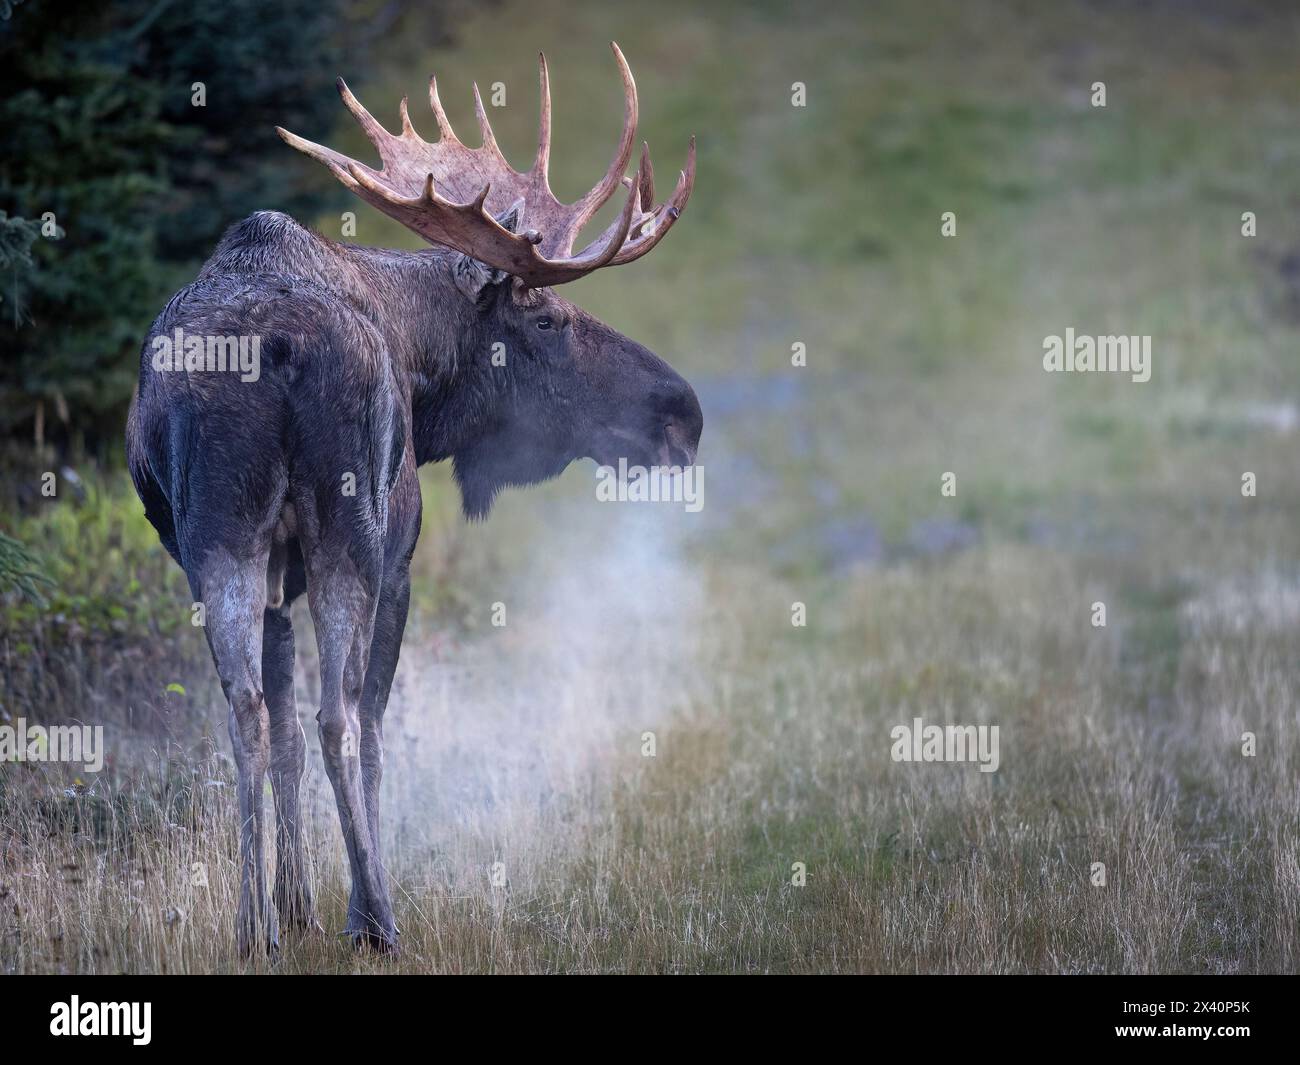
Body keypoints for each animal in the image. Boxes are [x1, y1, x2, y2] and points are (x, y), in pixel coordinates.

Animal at [126, 43, 701, 957]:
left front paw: (295, 906)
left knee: (247, 711)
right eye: (546, 318)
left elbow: (281, 729)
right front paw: (352, 908)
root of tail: (274, 349)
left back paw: (252, 928)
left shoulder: (274, 574)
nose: (683, 413)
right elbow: (369, 730)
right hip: (350, 533)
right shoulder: (400, 556)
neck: (420, 364)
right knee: (341, 714)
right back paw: (378, 916)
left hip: (219, 536)